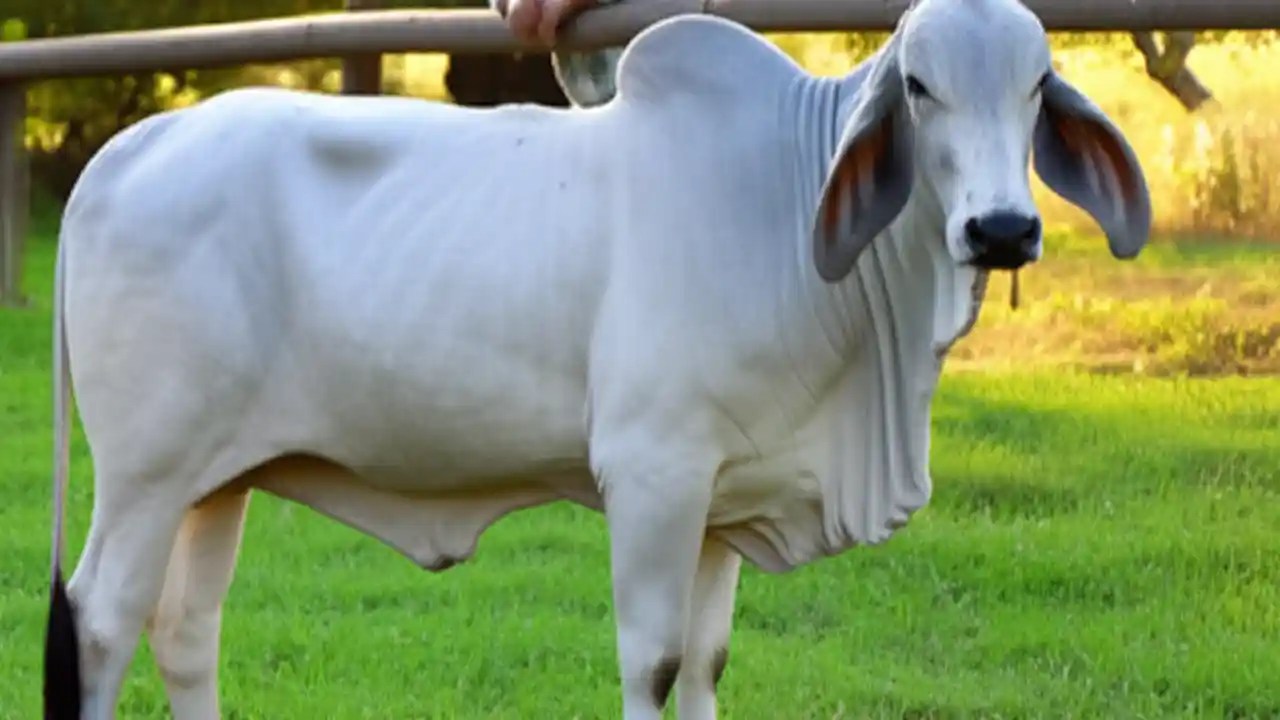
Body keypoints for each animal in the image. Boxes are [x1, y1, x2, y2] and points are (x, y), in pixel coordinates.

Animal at [42, 0, 1150, 718]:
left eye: (1036, 85)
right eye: (918, 86)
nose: (1001, 229)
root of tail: (126, 154)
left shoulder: (723, 500)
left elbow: (705, 664)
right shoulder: (654, 475)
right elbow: (653, 662)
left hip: (217, 478)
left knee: (185, 630)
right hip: (145, 475)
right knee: (100, 623)